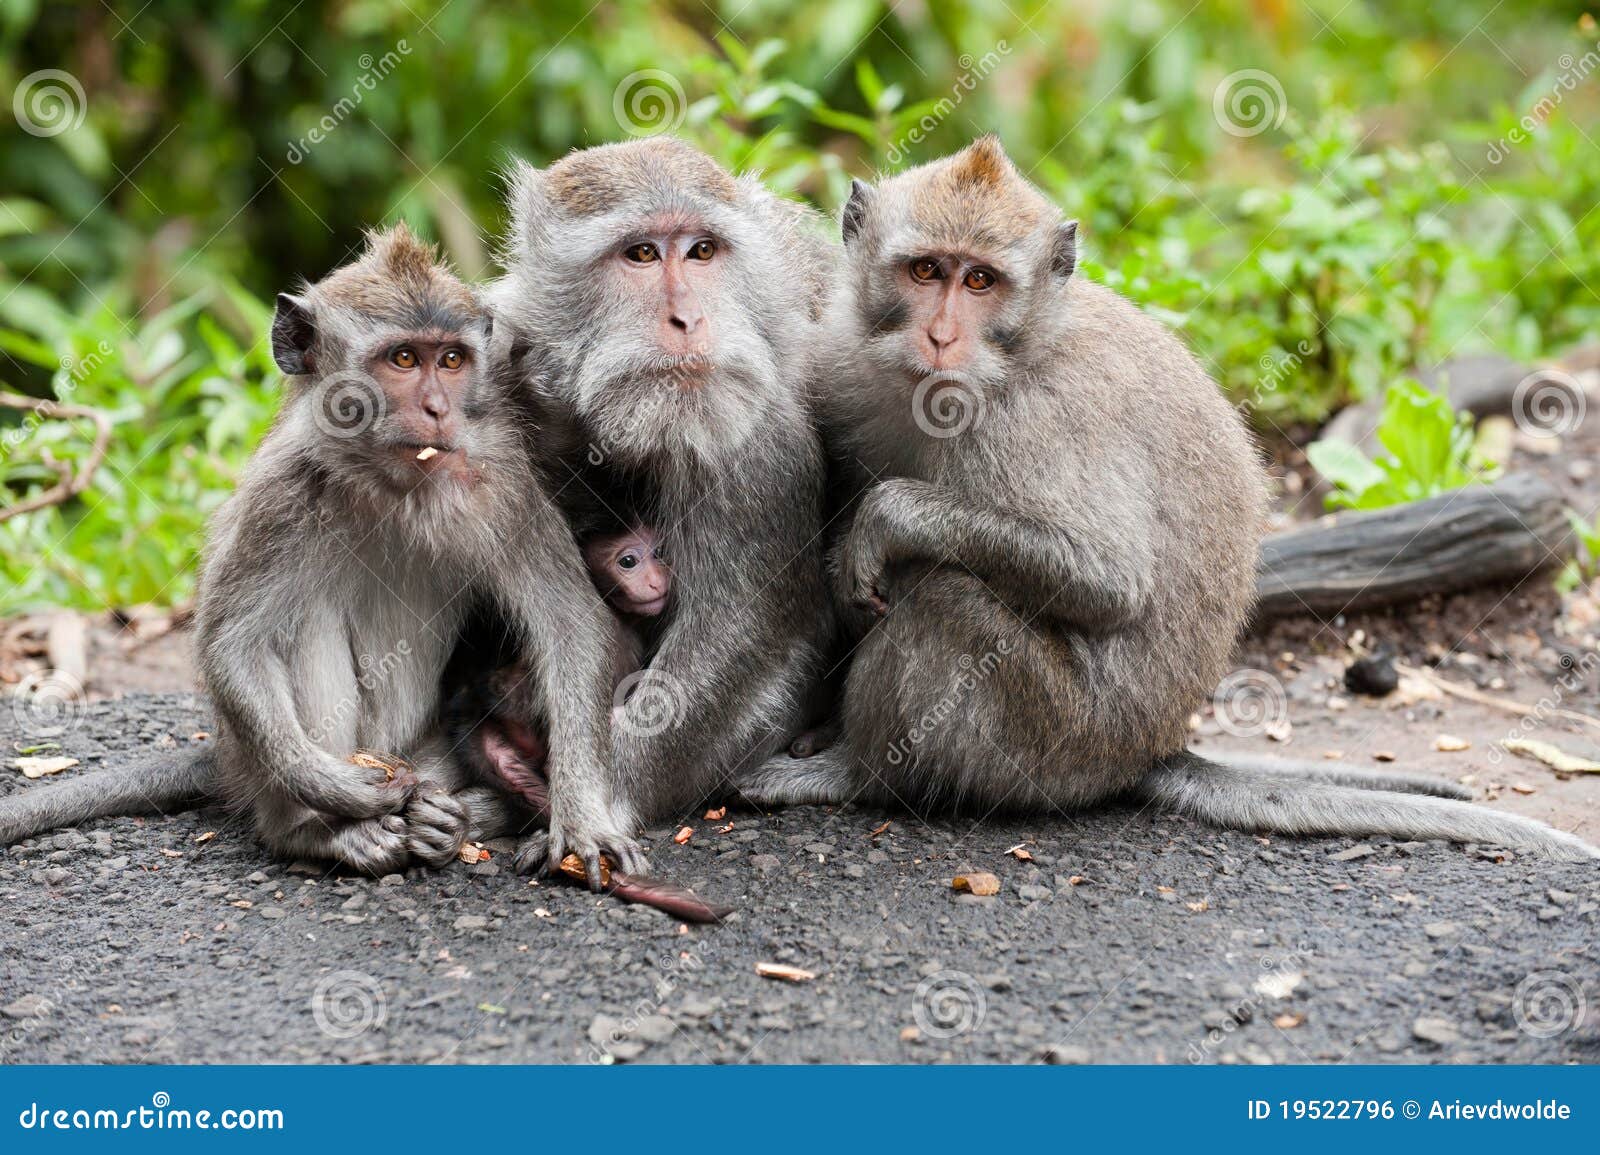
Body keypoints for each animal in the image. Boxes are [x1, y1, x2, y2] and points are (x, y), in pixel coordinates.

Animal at [0, 225, 642, 882]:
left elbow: (570, 624)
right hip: (274, 761)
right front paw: (334, 788)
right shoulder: (280, 494)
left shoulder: (503, 487)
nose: (439, 410)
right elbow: (233, 646)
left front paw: (581, 818)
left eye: (451, 360)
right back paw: (317, 833)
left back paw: (455, 817)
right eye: (403, 359)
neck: (390, 485)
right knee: (300, 626)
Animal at [483, 137, 836, 871]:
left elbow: (743, 632)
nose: (689, 320)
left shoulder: (756, 435)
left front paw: (597, 797)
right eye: (642, 254)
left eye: (701, 251)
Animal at [733, 136, 1598, 862]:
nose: (942, 337)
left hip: (1060, 740)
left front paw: (887, 519)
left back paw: (856, 770)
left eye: (980, 280)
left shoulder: (1041, 420)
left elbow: (1107, 578)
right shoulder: (839, 358)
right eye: (925, 272)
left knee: (948, 598)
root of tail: (1149, 749)